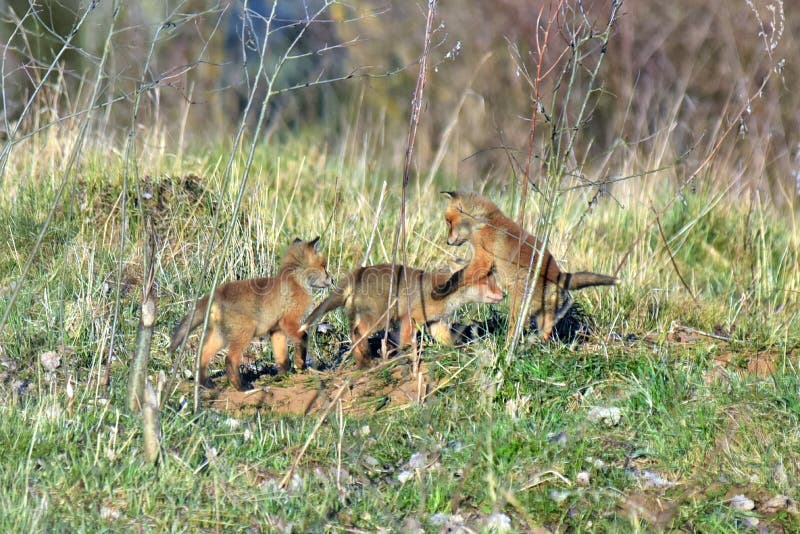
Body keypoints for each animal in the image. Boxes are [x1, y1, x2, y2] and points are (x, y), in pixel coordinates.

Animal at [169, 237, 333, 391]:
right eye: (324, 266)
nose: (332, 279)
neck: (296, 280)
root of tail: (215, 293)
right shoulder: (289, 320)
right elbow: (303, 338)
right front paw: (300, 363)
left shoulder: (276, 330)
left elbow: (282, 358)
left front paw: (282, 377)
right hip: (244, 333)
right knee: (229, 359)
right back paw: (241, 387)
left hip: (220, 336)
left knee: (202, 356)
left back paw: (206, 384)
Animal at [300, 263, 505, 368]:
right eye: (487, 283)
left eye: (495, 282)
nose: (503, 294)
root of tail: (356, 273)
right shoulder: (411, 317)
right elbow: (406, 340)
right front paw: (407, 354)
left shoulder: (435, 322)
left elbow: (446, 340)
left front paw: (455, 350)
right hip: (380, 317)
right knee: (359, 333)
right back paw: (369, 360)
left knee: (353, 334)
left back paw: (363, 361)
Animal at [437, 191, 617, 342]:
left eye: (449, 222)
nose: (447, 242)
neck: (486, 222)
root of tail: (559, 275)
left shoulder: (483, 257)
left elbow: (463, 274)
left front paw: (448, 285)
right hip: (544, 316)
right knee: (546, 332)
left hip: (518, 307)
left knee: (514, 330)